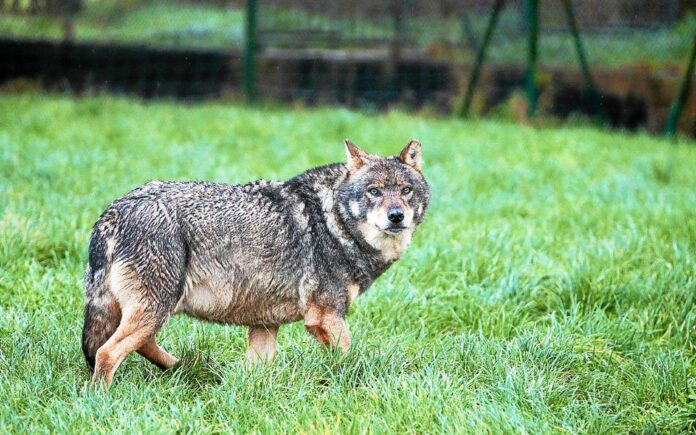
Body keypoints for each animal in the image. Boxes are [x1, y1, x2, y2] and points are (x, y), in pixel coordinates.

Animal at [82, 139, 430, 388]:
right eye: (374, 191)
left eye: (405, 190)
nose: (396, 216)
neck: (334, 221)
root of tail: (115, 210)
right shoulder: (325, 316)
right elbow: (347, 356)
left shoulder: (265, 325)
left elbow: (256, 374)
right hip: (156, 308)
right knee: (106, 352)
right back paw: (101, 399)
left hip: (149, 311)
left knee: (135, 346)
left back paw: (188, 368)